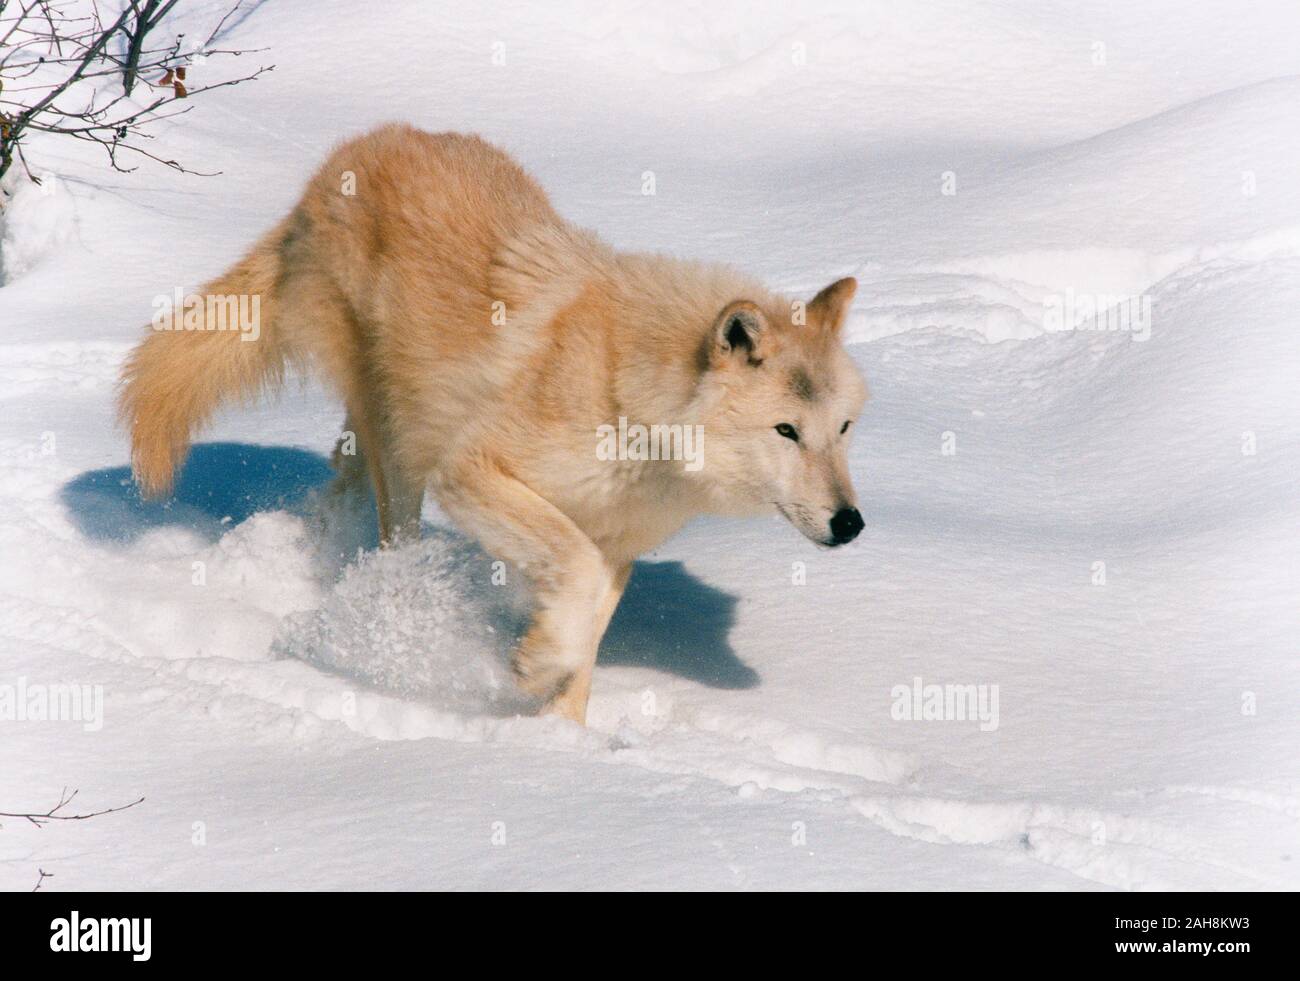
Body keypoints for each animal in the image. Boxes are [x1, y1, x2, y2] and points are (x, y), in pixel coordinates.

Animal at [120, 123, 868, 724]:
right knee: (394, 530)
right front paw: (534, 666)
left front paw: (560, 737)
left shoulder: (615, 544)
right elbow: (573, 578)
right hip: (405, 446)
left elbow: (588, 636)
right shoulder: (476, 472)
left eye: (842, 429)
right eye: (786, 431)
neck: (625, 393)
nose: (853, 523)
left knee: (340, 486)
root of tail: (355, 148)